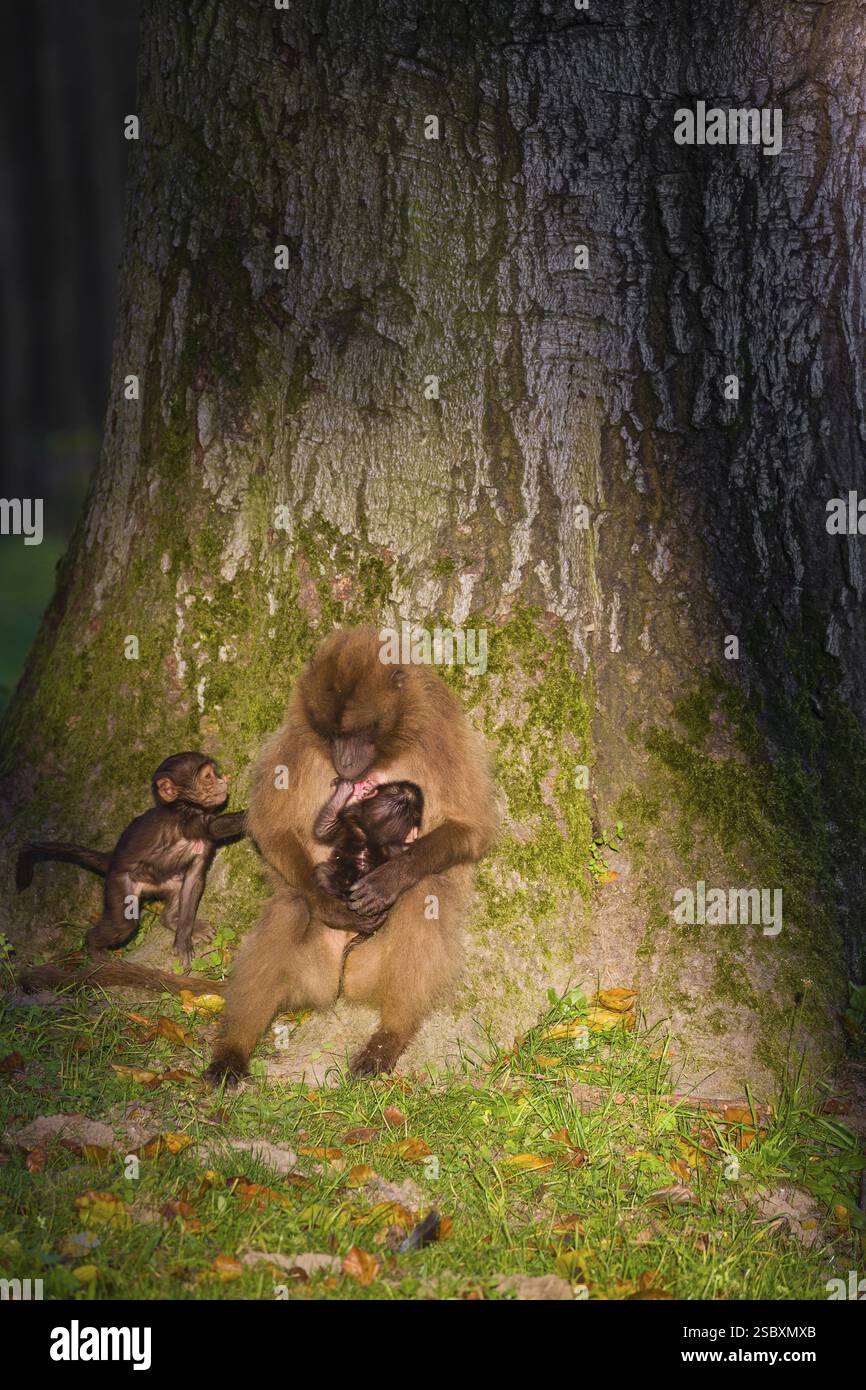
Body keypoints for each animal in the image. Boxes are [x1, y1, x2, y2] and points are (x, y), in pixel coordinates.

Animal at [16, 752, 246, 971]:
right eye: (207, 777)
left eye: (214, 774)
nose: (221, 781)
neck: (181, 807)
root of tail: (113, 857)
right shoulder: (186, 821)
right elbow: (214, 826)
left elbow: (193, 881)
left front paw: (184, 934)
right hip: (119, 882)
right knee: (123, 924)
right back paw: (94, 949)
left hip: (162, 882)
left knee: (177, 889)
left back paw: (170, 920)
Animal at [204, 625, 497, 1087]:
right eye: (332, 735)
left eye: (358, 733)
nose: (343, 760)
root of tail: (340, 979)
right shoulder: (299, 735)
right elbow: (269, 826)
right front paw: (330, 902)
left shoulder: (440, 727)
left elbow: (472, 828)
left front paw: (391, 877)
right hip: (312, 978)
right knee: (292, 906)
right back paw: (233, 1049)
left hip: (369, 974)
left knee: (425, 893)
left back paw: (390, 1035)